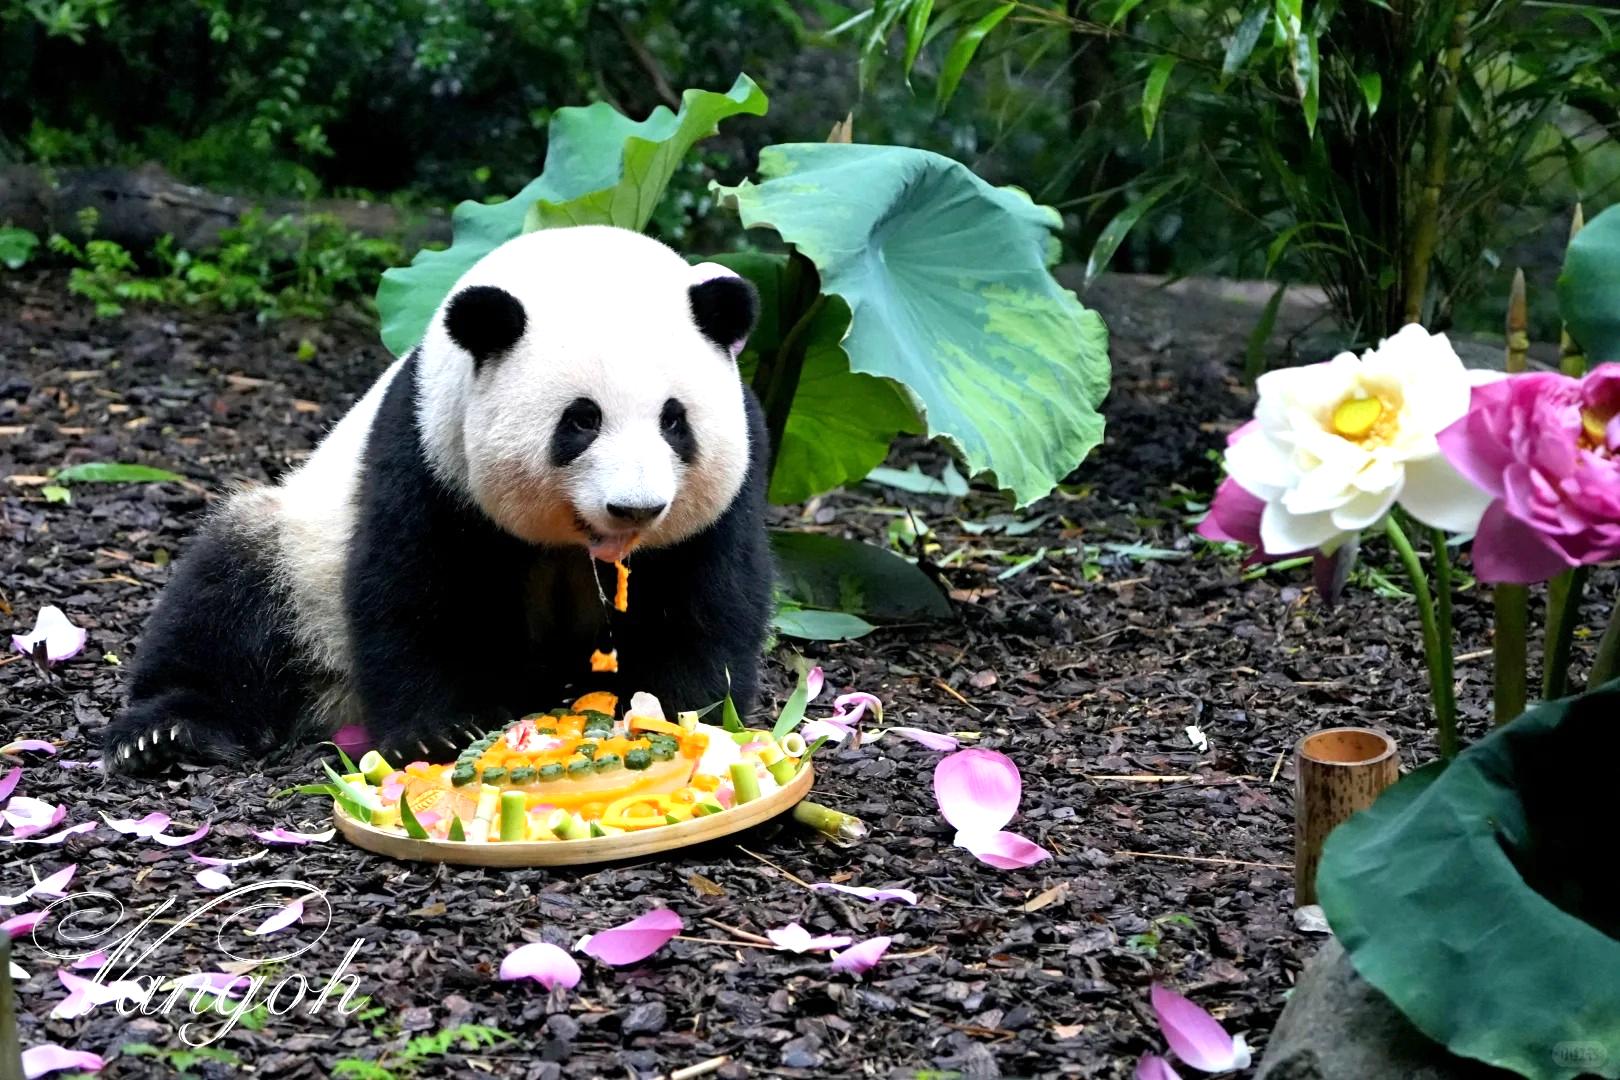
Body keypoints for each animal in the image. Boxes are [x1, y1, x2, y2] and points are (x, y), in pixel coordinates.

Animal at [103, 225, 774, 774]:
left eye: (674, 421)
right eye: (581, 420)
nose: (634, 508)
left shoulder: (741, 465)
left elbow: (706, 598)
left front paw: (682, 712)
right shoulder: (429, 447)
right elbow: (414, 591)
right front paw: (435, 734)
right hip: (298, 559)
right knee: (224, 594)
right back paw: (164, 734)